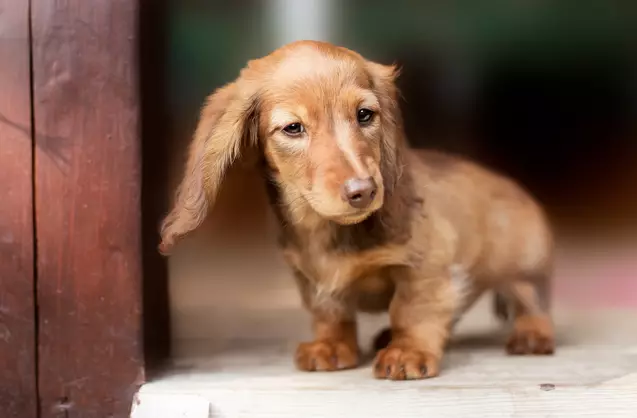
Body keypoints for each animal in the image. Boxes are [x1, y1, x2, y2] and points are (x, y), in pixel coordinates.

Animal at [161, 40, 556, 380]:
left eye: (364, 115)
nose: (363, 191)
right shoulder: (309, 278)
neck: (324, 228)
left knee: (531, 301)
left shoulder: (427, 265)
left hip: (524, 266)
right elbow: (330, 312)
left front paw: (408, 351)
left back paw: (532, 334)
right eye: (293, 128)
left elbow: (411, 308)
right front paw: (331, 345)